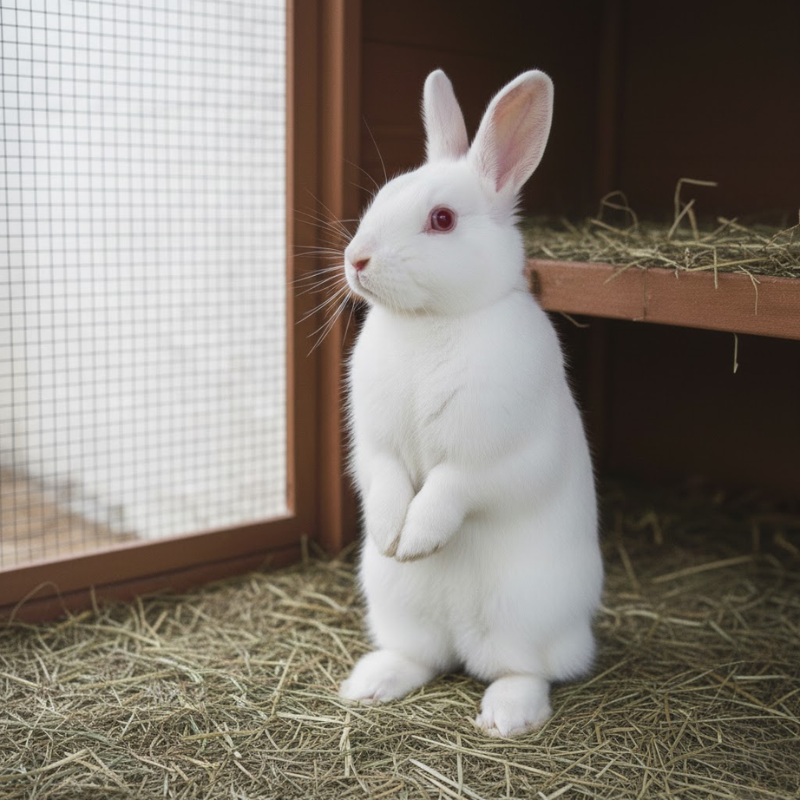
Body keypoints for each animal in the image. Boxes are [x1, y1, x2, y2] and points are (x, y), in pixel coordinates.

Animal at [338, 69, 604, 738]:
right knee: (422, 658)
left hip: (525, 617)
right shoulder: (374, 448)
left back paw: (508, 716)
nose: (356, 260)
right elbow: (384, 480)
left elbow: (450, 491)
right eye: (381, 198)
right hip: (395, 604)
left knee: (525, 670)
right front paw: (391, 537)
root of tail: (463, 641)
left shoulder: (494, 457)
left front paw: (418, 541)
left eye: (441, 219)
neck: (433, 320)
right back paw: (370, 684)